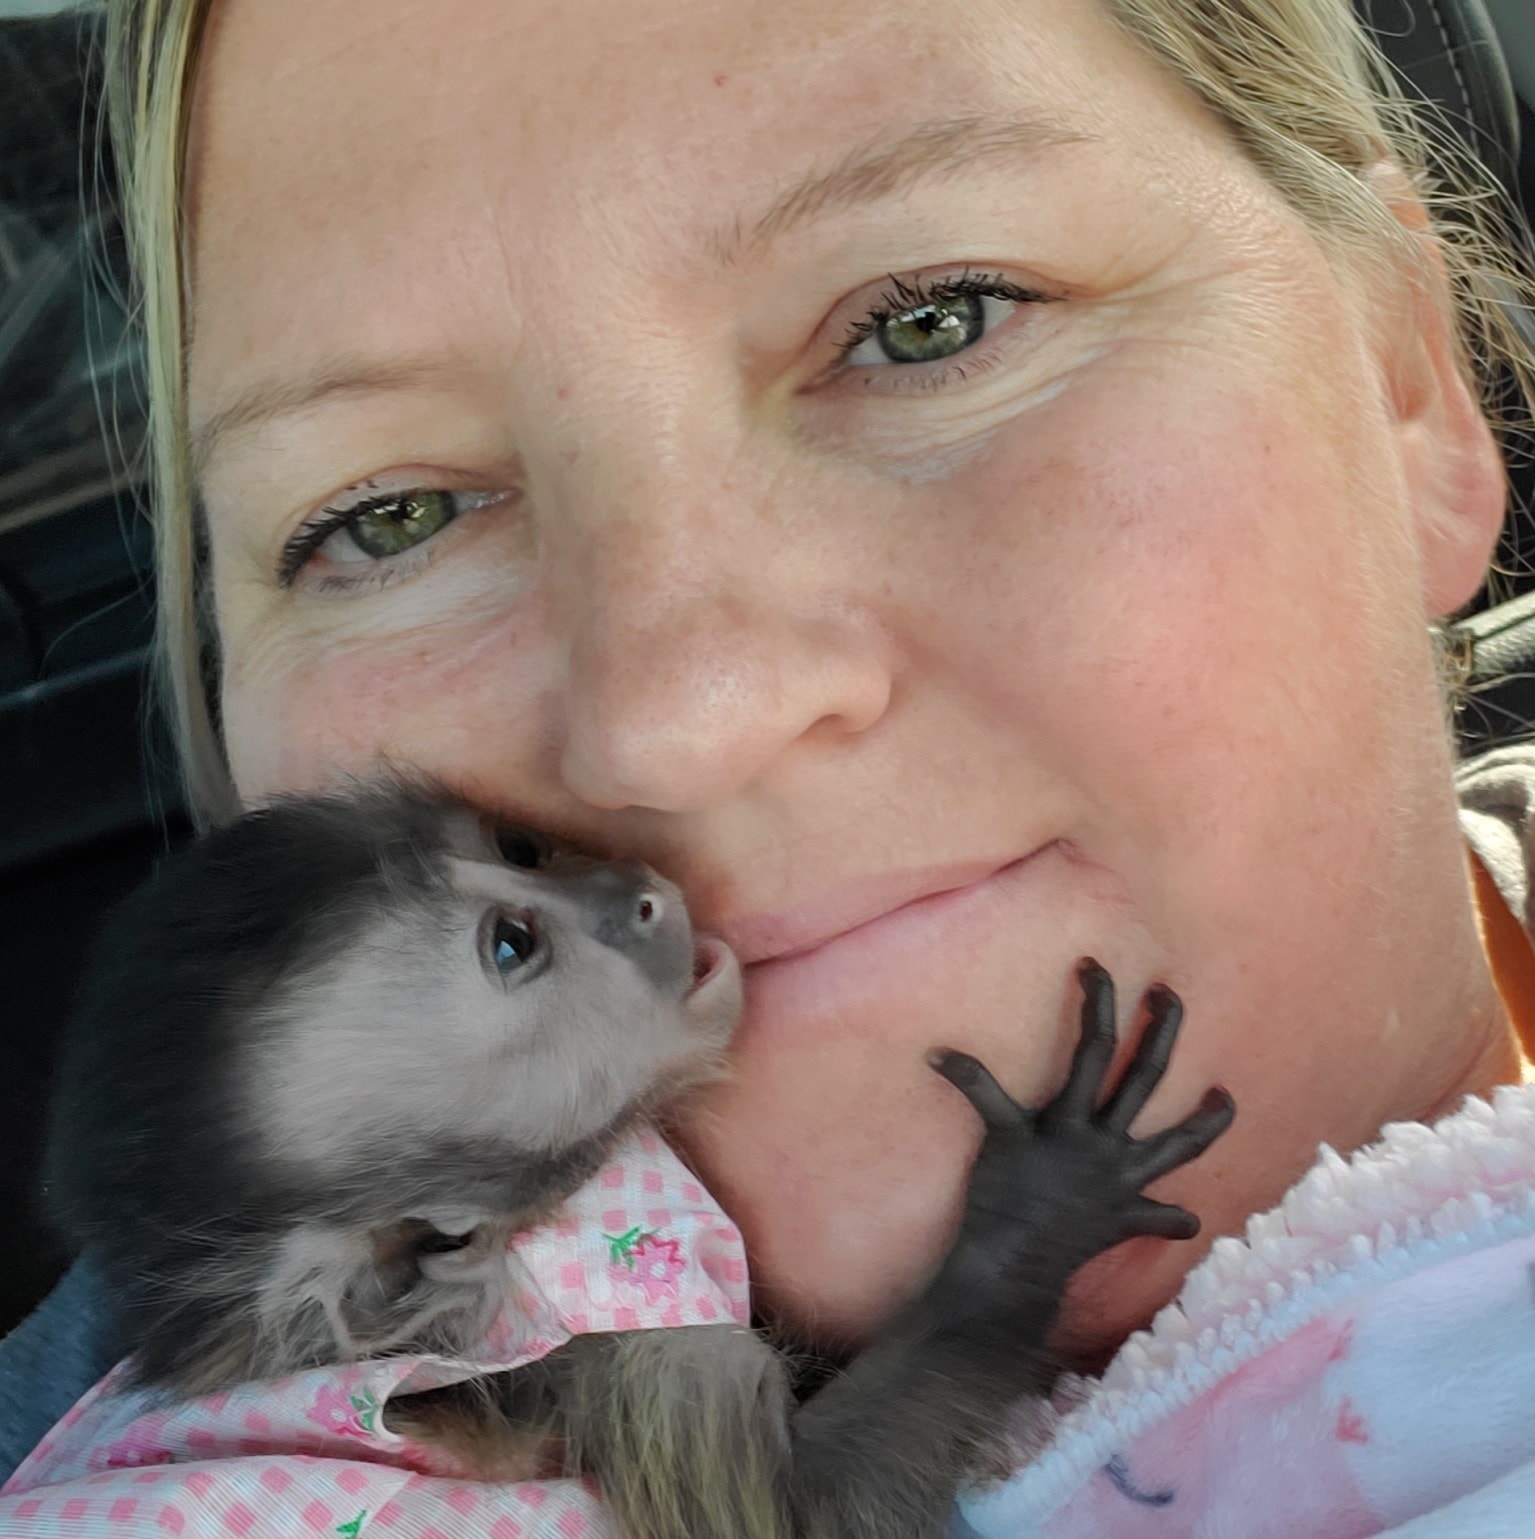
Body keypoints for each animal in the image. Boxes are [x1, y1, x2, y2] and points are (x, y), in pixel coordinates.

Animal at [43, 779, 1235, 1539]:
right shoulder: (617, 1309)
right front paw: (1040, 1207)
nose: (640, 892)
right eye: (514, 942)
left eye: (516, 847)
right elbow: (793, 1516)